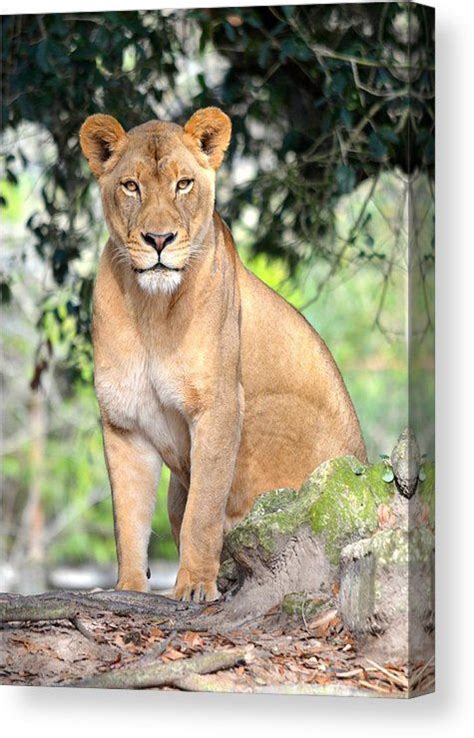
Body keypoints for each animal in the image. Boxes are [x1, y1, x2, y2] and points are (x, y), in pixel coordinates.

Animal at [79, 107, 367, 602]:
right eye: (131, 186)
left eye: (183, 184)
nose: (159, 239)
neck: (152, 309)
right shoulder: (124, 421)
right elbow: (127, 518)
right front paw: (128, 588)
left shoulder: (220, 406)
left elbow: (204, 510)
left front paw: (195, 586)